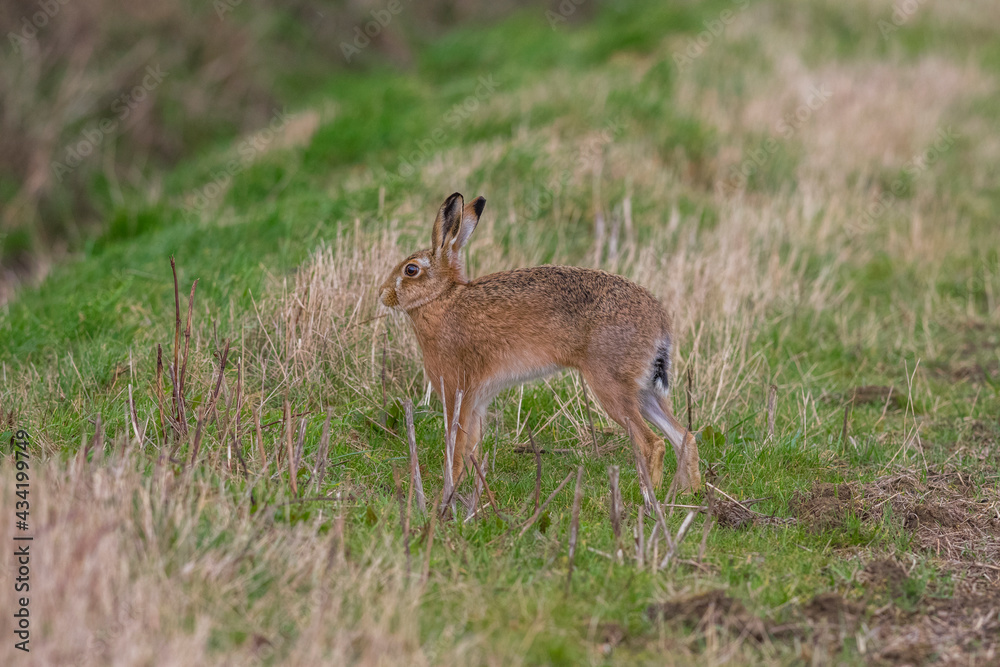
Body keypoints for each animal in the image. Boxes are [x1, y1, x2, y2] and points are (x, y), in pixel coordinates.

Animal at [378, 192, 700, 492]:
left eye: (410, 270)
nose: (383, 294)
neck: (441, 298)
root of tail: (660, 323)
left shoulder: (456, 390)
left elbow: (456, 442)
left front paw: (451, 487)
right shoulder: (477, 399)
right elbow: (472, 444)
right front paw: (470, 485)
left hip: (610, 383)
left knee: (653, 443)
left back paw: (650, 496)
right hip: (642, 388)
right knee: (683, 436)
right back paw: (687, 494)